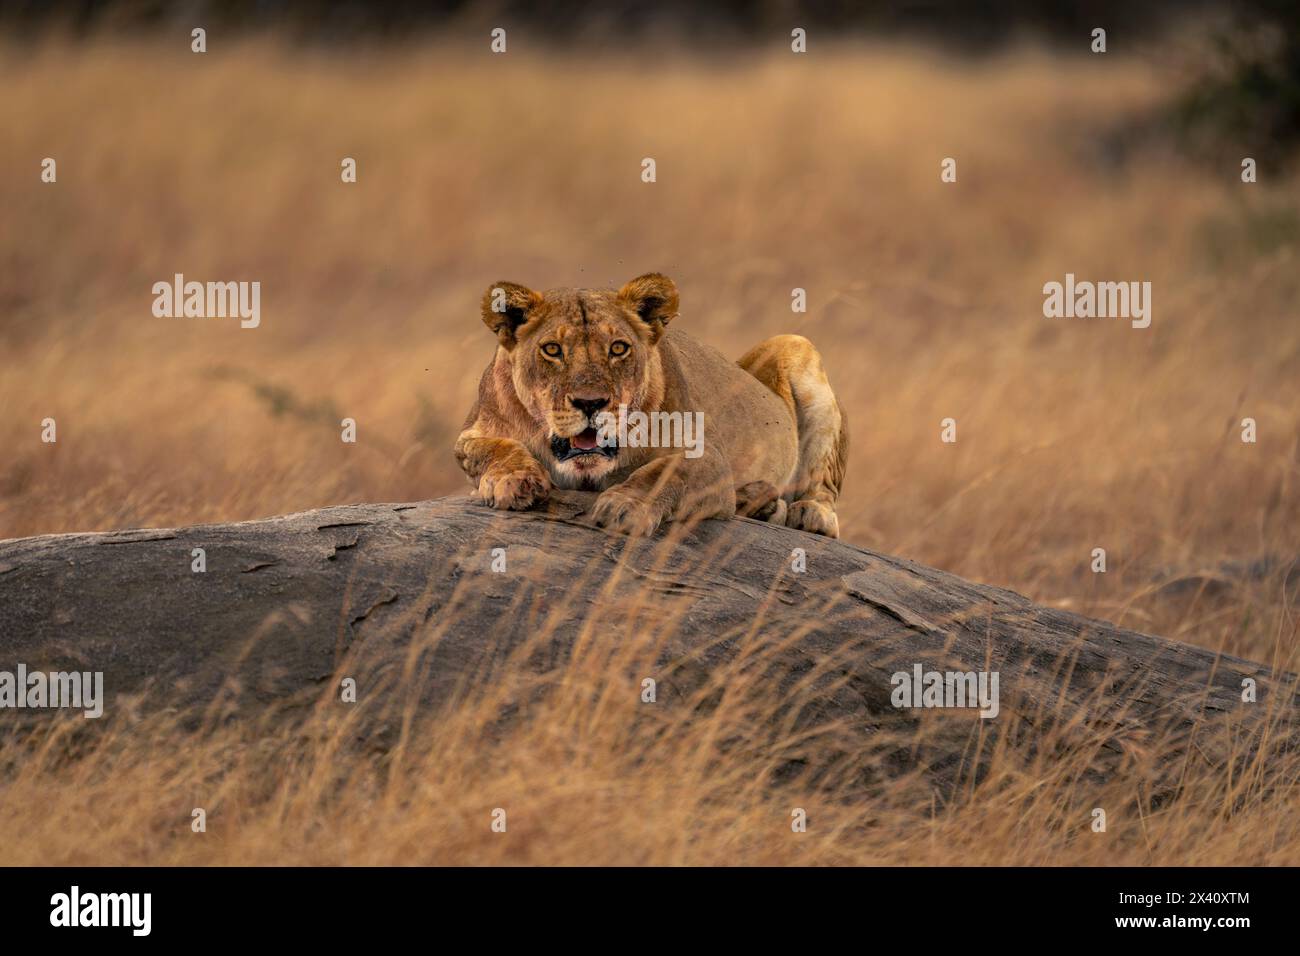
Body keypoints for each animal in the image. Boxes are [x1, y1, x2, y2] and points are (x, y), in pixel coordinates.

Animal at [455, 273, 847, 537]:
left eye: (618, 348)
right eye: (552, 349)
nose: (590, 403)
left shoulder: (706, 454)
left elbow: (666, 471)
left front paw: (626, 505)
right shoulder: (473, 432)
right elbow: (494, 448)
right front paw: (514, 480)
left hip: (797, 344)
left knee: (823, 489)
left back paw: (808, 513)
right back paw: (759, 502)